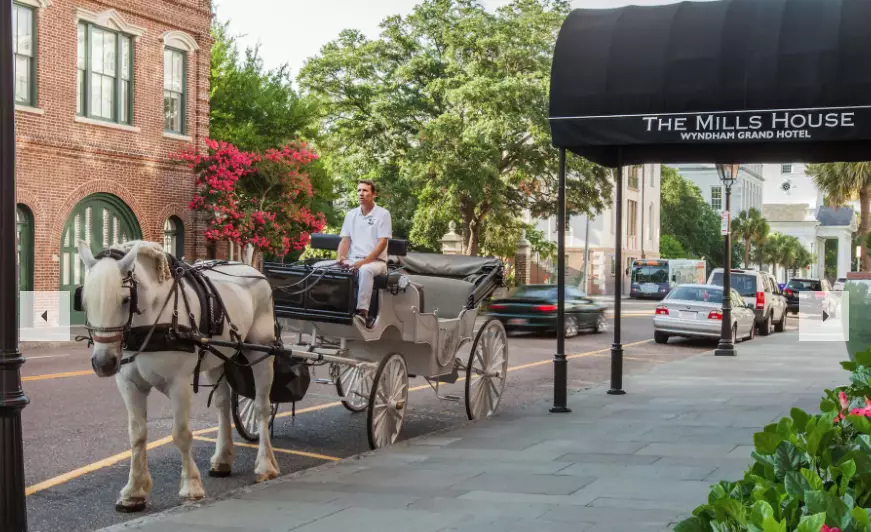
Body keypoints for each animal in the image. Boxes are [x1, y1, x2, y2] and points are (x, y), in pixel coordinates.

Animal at [76, 240, 280, 512]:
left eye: (126, 299)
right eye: (84, 300)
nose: (103, 363)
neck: (151, 321)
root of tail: (253, 269)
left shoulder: (178, 383)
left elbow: (181, 434)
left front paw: (191, 487)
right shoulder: (129, 383)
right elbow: (137, 435)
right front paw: (134, 492)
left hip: (262, 351)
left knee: (261, 407)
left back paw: (266, 464)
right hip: (218, 357)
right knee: (223, 405)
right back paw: (222, 460)